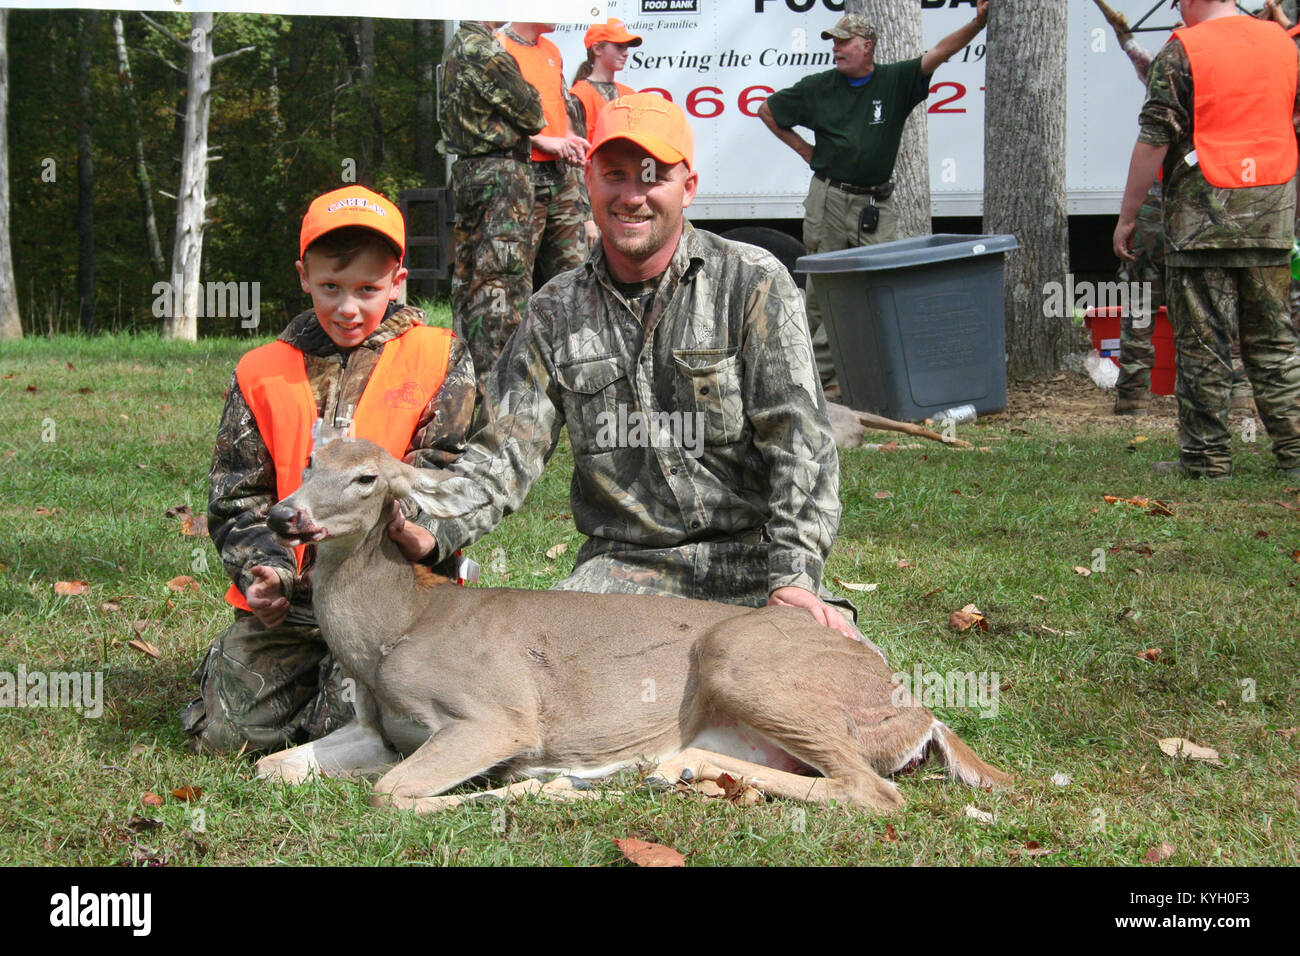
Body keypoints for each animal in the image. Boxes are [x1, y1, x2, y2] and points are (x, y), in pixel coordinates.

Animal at [254, 436, 1012, 813]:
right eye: (310, 462)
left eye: (366, 479)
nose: (284, 514)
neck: (394, 632)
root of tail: (917, 710)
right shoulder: (379, 731)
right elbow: (271, 767)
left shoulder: (495, 714)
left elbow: (392, 793)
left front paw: (535, 787)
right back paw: (677, 771)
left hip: (744, 660)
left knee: (874, 791)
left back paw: (656, 769)